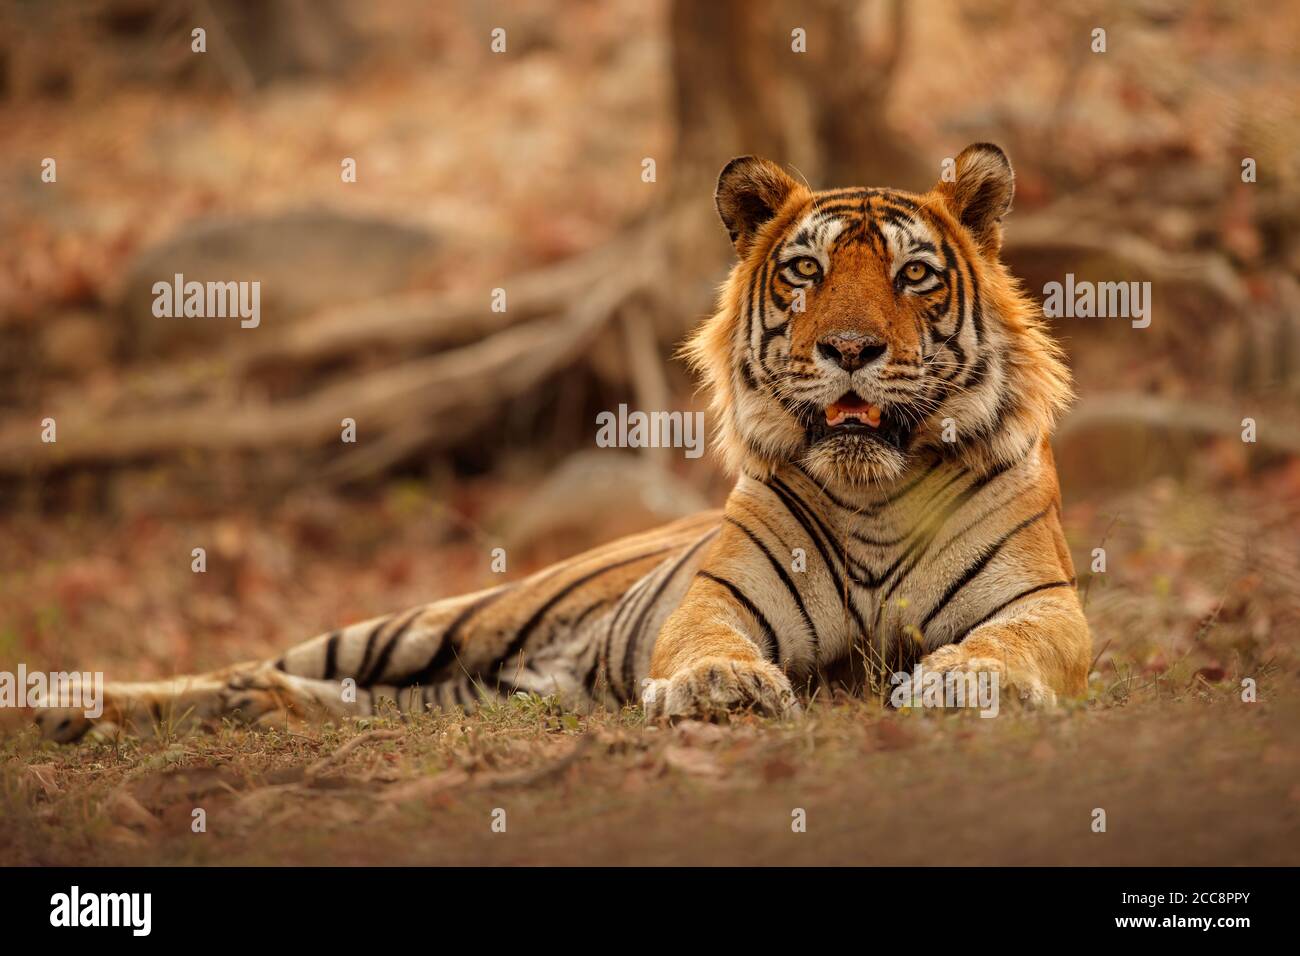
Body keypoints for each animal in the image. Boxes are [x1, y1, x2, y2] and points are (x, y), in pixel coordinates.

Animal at [34, 143, 1091, 742]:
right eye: (804, 272)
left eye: (914, 275)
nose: (850, 349)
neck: (873, 491)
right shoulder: (714, 599)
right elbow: (708, 641)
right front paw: (719, 688)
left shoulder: (1046, 607)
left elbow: (1011, 640)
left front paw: (966, 680)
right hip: (432, 622)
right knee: (254, 663)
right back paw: (80, 706)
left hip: (474, 687)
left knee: (333, 697)